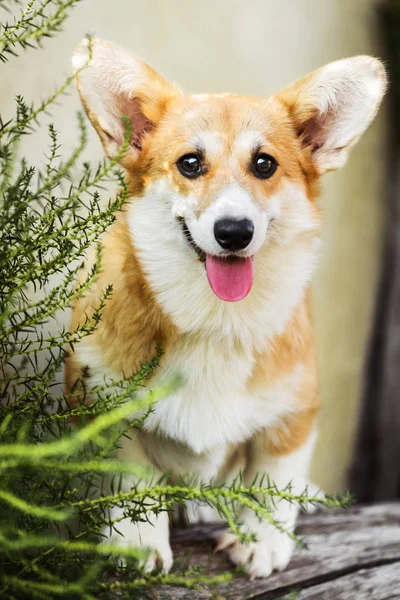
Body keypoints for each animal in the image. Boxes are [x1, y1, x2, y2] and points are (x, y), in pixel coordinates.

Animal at [67, 38, 386, 580]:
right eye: (190, 163)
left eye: (265, 165)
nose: (234, 232)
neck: (215, 321)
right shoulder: (101, 403)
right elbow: (132, 475)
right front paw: (136, 538)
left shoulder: (294, 412)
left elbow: (271, 479)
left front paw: (262, 539)